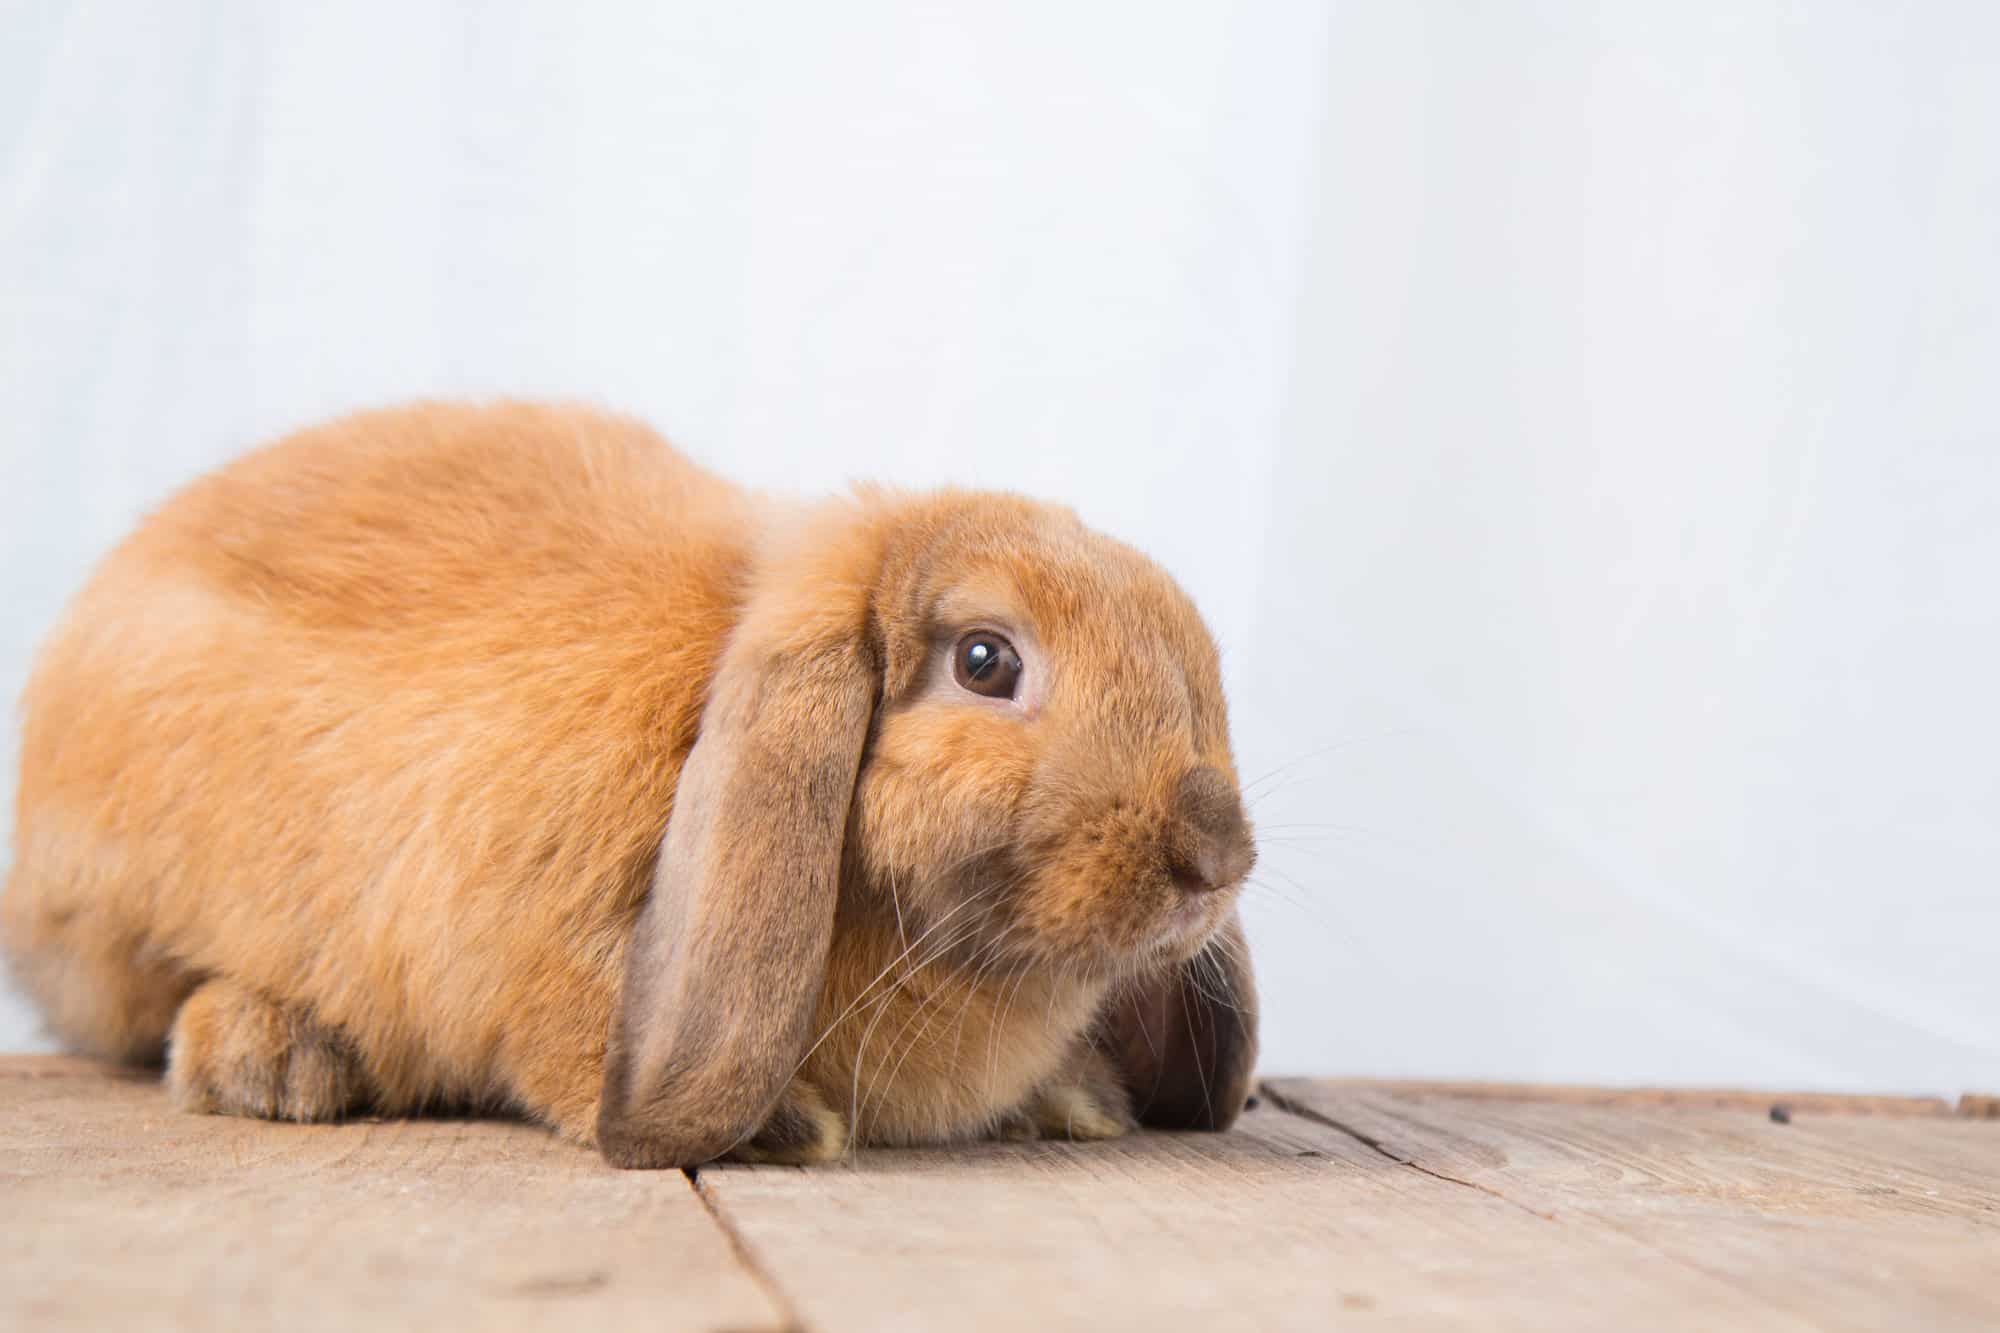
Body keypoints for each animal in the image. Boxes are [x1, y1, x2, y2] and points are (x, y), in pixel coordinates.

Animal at [1, 401, 1259, 1168]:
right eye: (986, 661)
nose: (1215, 854)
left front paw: (1078, 1101)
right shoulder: (552, 957)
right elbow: (561, 1036)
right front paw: (777, 1130)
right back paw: (273, 1056)